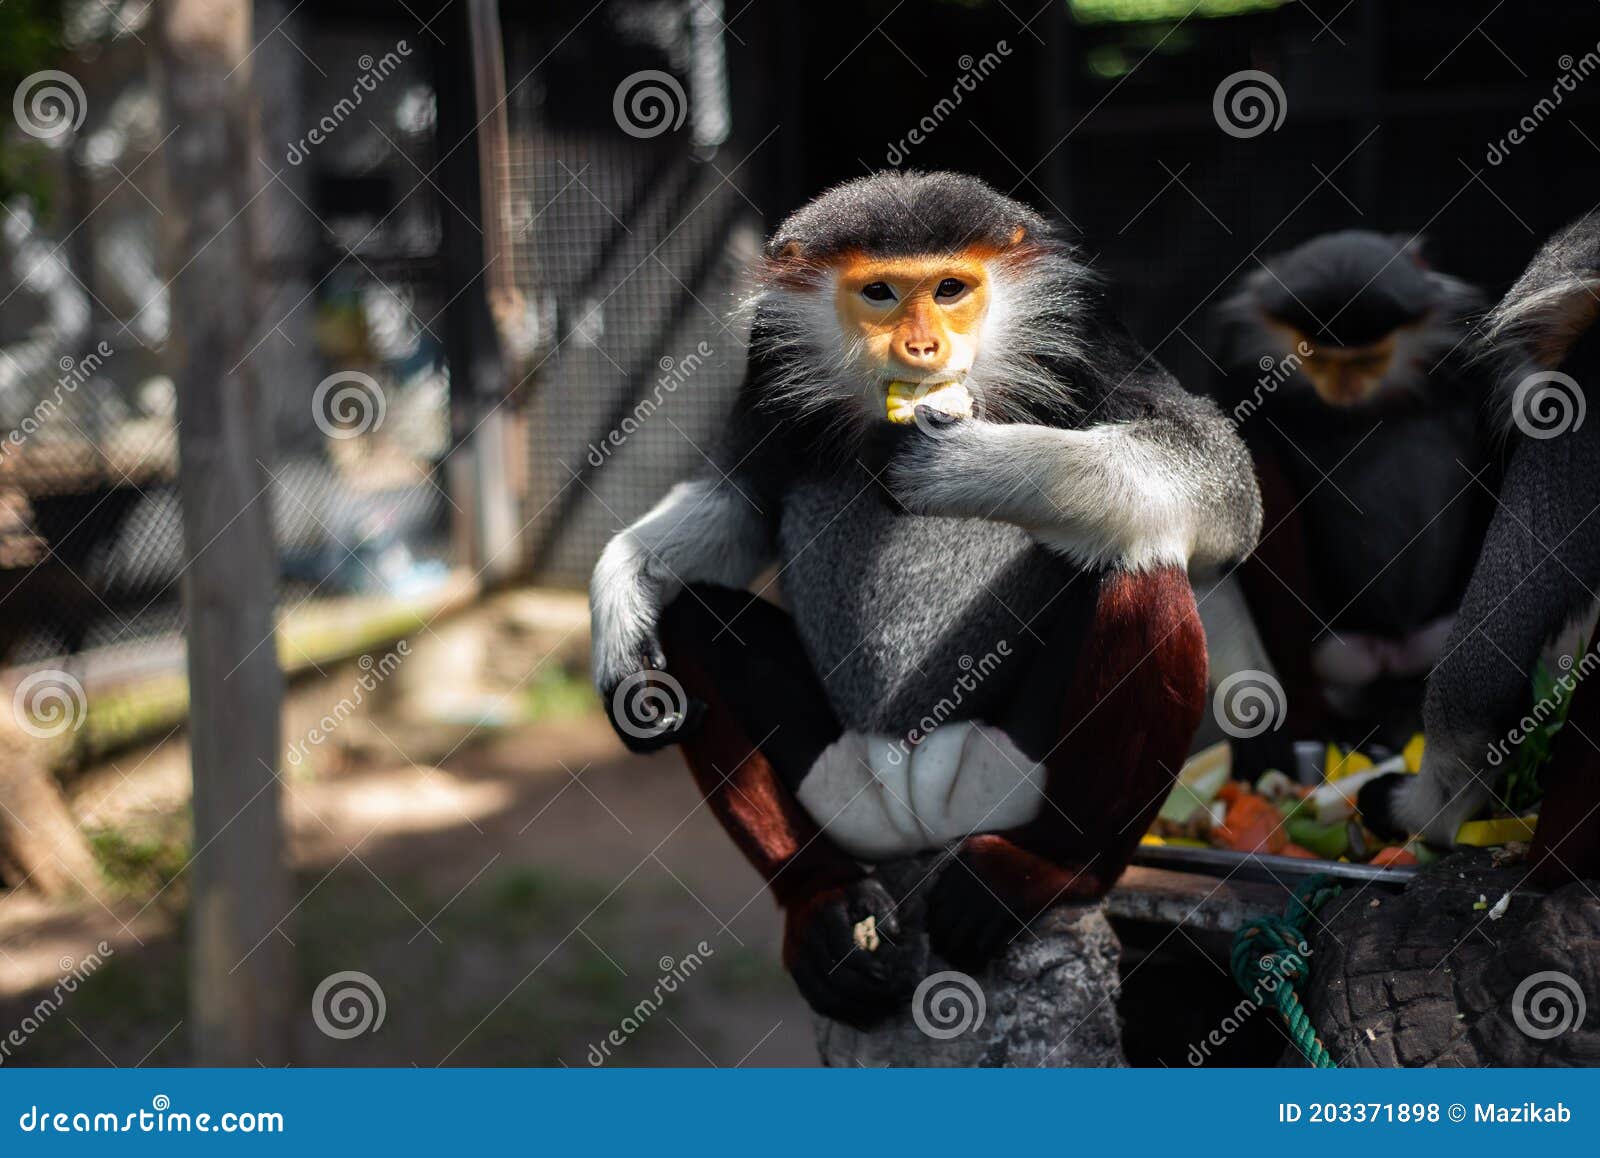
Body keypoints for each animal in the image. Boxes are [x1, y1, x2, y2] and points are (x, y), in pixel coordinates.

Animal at [589, 171, 1262, 1025]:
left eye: (950, 290)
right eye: (879, 292)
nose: (921, 350)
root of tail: (919, 806)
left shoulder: (1085, 335)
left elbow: (1221, 487)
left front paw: (948, 460)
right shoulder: (769, 356)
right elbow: (738, 506)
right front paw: (620, 597)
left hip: (1006, 782)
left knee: (1141, 569)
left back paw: (1041, 872)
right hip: (846, 795)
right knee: (687, 620)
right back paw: (823, 905)